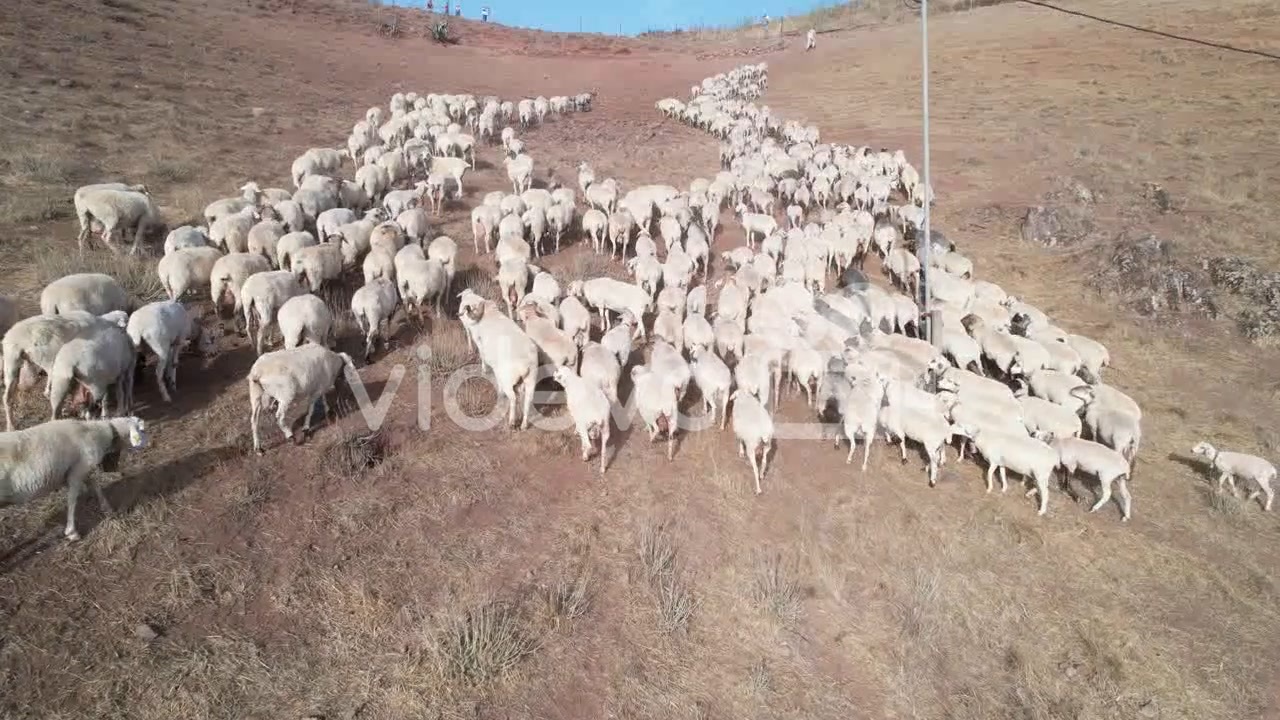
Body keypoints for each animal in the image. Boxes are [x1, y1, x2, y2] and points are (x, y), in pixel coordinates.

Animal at [0, 416, 148, 540]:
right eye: (142, 430)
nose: (148, 443)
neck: (95, 433)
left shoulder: (80, 469)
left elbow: (95, 485)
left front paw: (106, 507)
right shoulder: (76, 472)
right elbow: (72, 500)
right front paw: (72, 532)